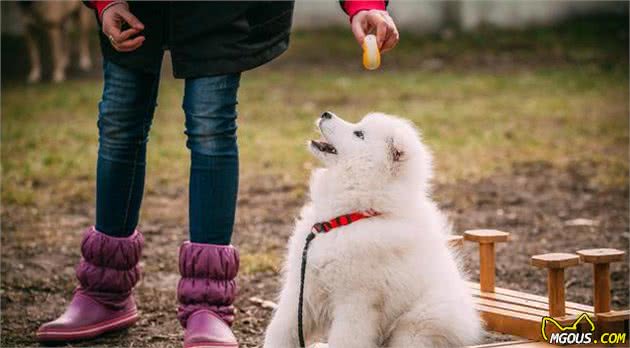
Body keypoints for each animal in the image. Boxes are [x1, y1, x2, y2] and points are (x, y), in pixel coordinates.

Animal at [264, 113, 482, 346]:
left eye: (359, 134)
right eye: (359, 125)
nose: (325, 114)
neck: (345, 219)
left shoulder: (355, 300)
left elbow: (343, 340)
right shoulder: (303, 289)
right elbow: (281, 328)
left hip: (418, 323)